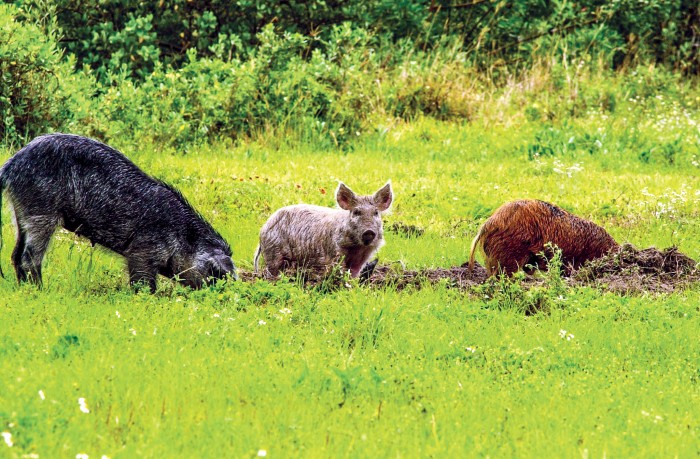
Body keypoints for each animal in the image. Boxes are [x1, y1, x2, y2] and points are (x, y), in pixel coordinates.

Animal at [0, 133, 235, 291]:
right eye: (214, 274)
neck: (183, 236)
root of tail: (11, 165)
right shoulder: (143, 249)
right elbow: (142, 280)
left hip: (20, 212)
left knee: (15, 254)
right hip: (41, 211)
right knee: (29, 256)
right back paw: (40, 290)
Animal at [254, 182, 393, 278]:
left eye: (376, 213)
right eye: (356, 212)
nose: (369, 231)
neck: (357, 248)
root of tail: (263, 229)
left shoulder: (363, 257)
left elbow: (354, 273)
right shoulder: (335, 251)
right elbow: (338, 269)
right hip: (274, 250)